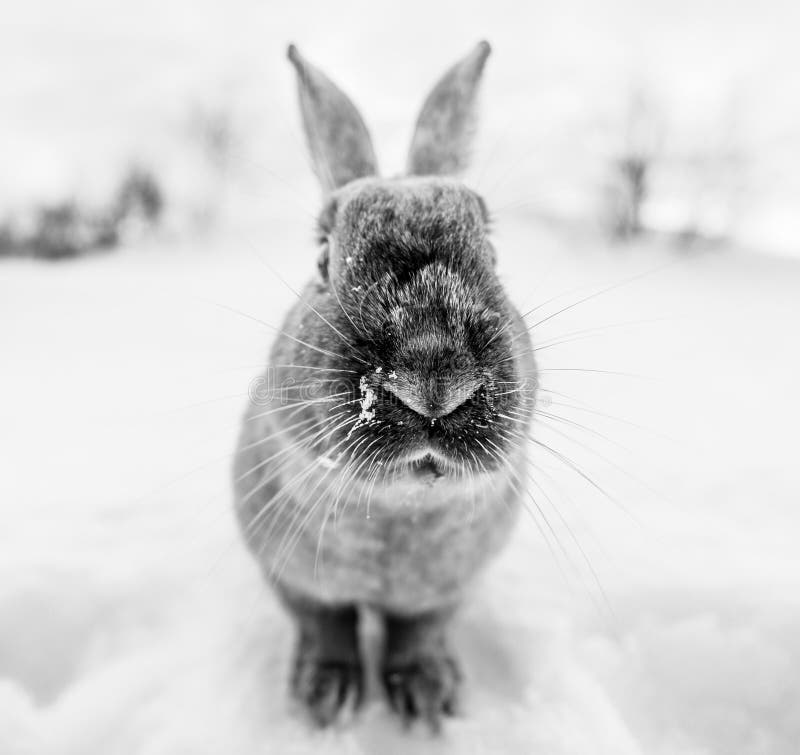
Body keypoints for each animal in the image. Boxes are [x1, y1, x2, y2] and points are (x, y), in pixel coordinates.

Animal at [233, 40, 537, 730]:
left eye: (494, 255)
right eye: (323, 259)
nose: (433, 380)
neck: (401, 508)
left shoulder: (444, 595)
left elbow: (418, 634)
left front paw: (427, 699)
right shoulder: (295, 580)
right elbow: (326, 626)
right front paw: (326, 698)